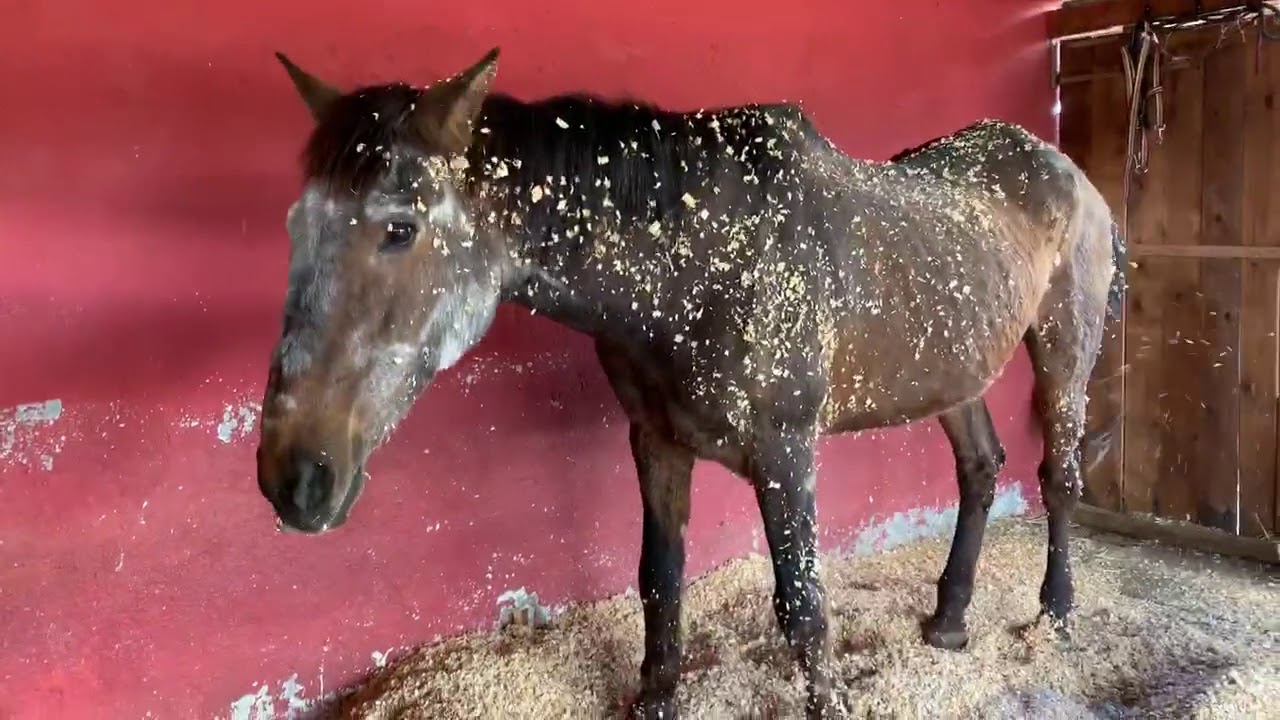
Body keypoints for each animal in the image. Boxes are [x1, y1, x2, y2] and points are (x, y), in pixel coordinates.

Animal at [254, 47, 1125, 718]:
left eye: (398, 228)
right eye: (296, 226)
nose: (294, 479)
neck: (696, 265)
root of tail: (1066, 171)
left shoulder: (785, 454)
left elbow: (803, 607)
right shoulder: (657, 440)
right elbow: (659, 579)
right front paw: (655, 697)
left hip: (1064, 351)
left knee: (1058, 477)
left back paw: (1054, 615)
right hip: (954, 371)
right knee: (980, 468)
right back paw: (948, 620)